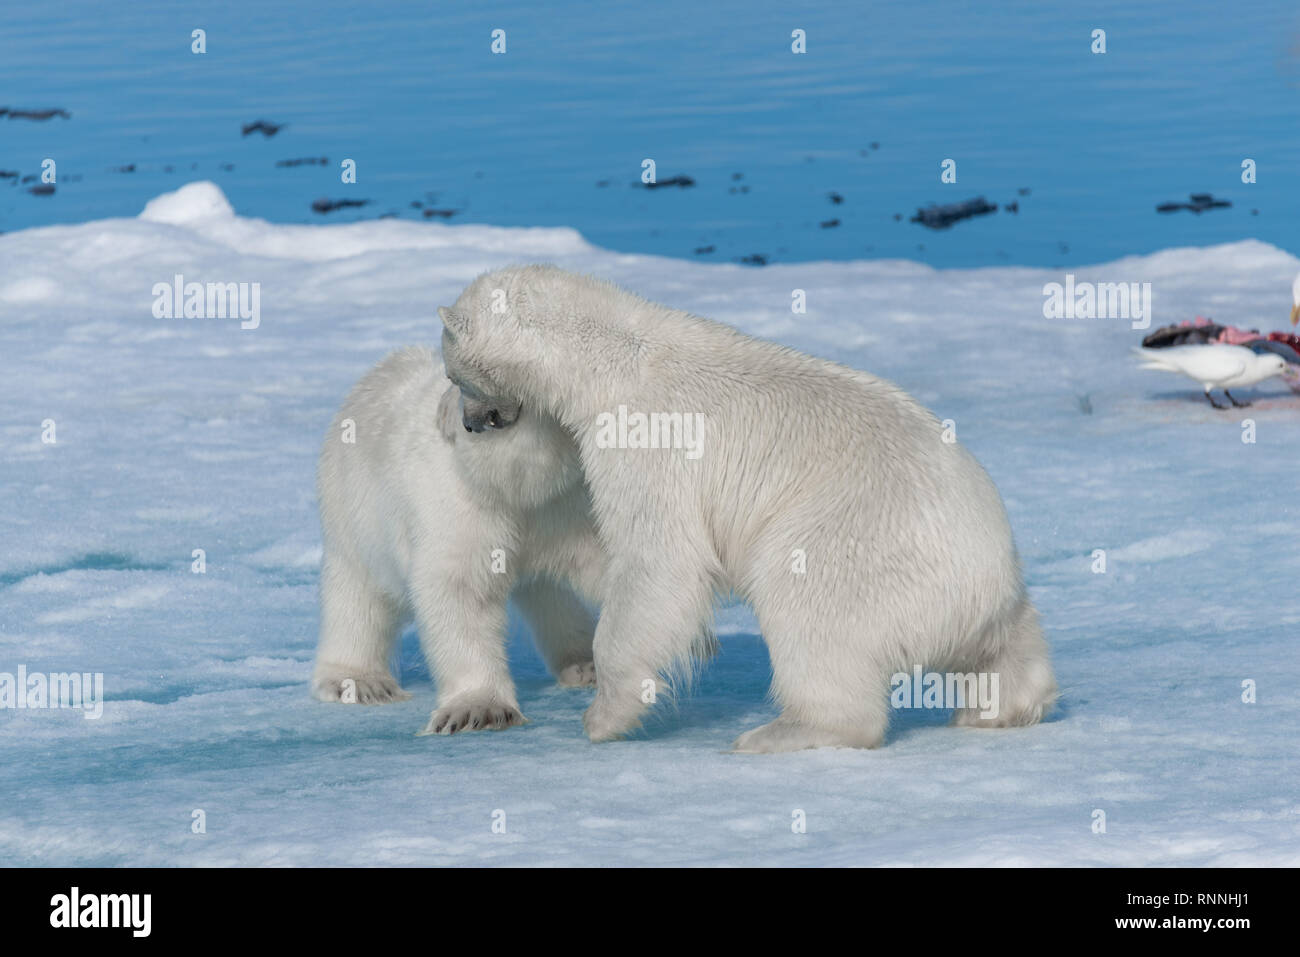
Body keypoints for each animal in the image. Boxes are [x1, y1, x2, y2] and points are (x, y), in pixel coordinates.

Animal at [311, 345, 608, 734]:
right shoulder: (460, 505)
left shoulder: (568, 505)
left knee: (548, 592)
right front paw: (479, 710)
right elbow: (459, 589)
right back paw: (360, 682)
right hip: (353, 513)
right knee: (359, 595)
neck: (519, 486)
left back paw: (583, 663)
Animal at [438, 265, 1058, 752]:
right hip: (984, 594)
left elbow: (659, 560)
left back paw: (782, 731)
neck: (613, 355)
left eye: (453, 369)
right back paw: (1003, 706)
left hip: (854, 540)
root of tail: (985, 576)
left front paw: (604, 716)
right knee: (1007, 642)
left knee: (810, 611)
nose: (469, 422)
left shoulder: (647, 442)